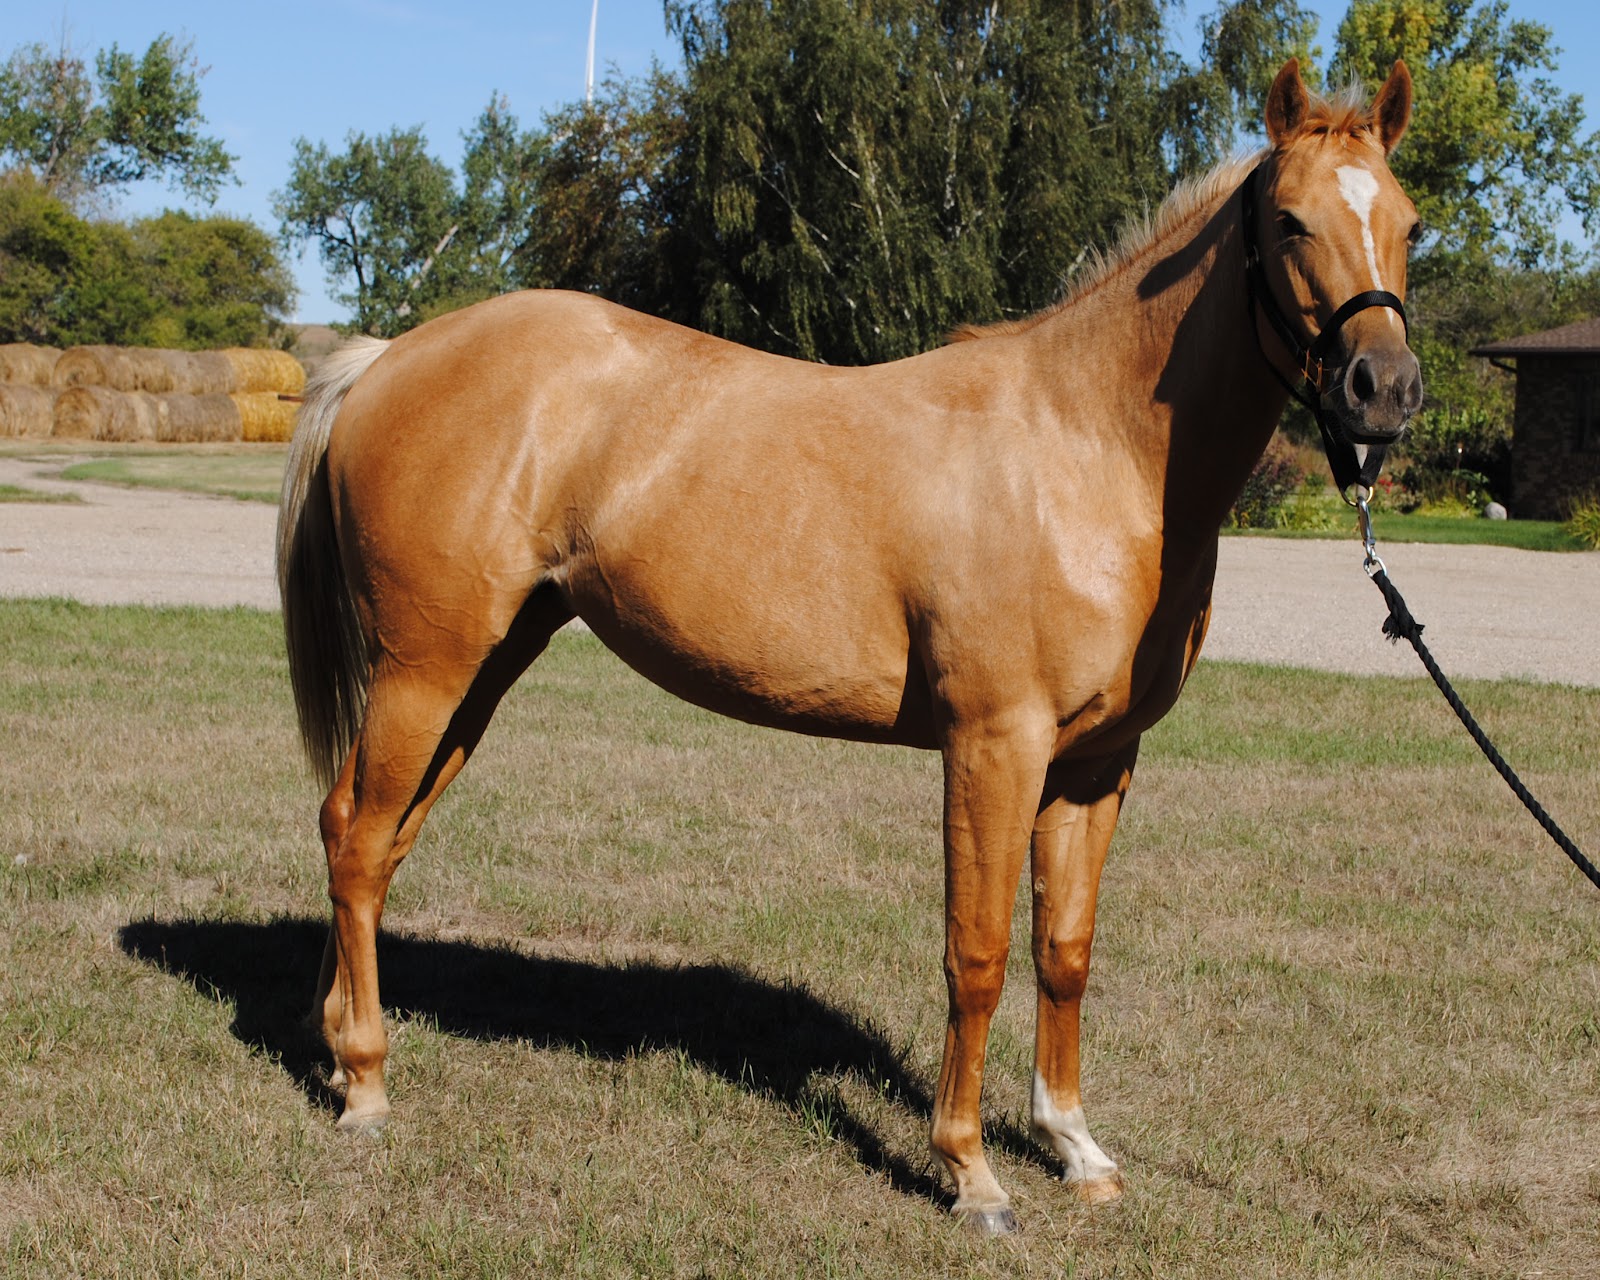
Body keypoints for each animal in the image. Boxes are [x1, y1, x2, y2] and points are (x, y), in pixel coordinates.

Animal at [277, 59, 1422, 1234]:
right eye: (1288, 221)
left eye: (1409, 225)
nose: (1384, 391)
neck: (1084, 447)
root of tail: (389, 358)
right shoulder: (994, 745)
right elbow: (977, 953)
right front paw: (970, 1172)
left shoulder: (1096, 765)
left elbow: (1063, 950)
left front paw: (1074, 1145)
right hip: (425, 666)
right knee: (358, 842)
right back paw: (365, 1085)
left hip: (487, 662)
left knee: (370, 834)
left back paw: (333, 1045)